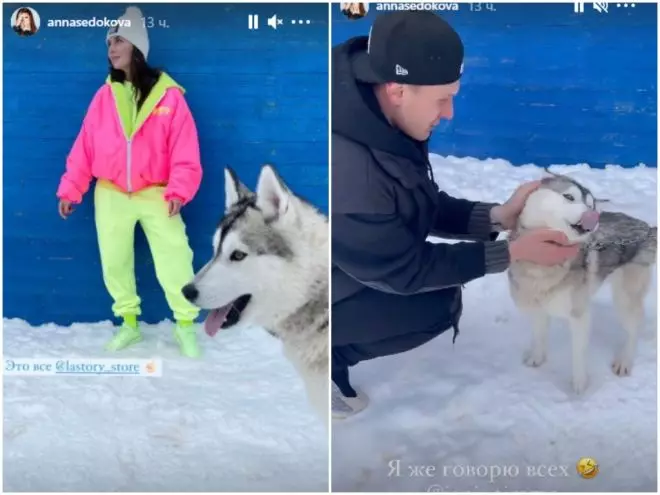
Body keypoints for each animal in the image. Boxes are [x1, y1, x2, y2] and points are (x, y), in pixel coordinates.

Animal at [506, 172, 656, 394]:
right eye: (569, 197)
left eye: (591, 205)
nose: (594, 216)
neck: (542, 268)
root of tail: (647, 228)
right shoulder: (539, 308)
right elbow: (539, 335)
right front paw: (537, 358)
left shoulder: (579, 317)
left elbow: (578, 354)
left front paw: (579, 385)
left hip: (625, 299)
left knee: (633, 329)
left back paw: (624, 361)